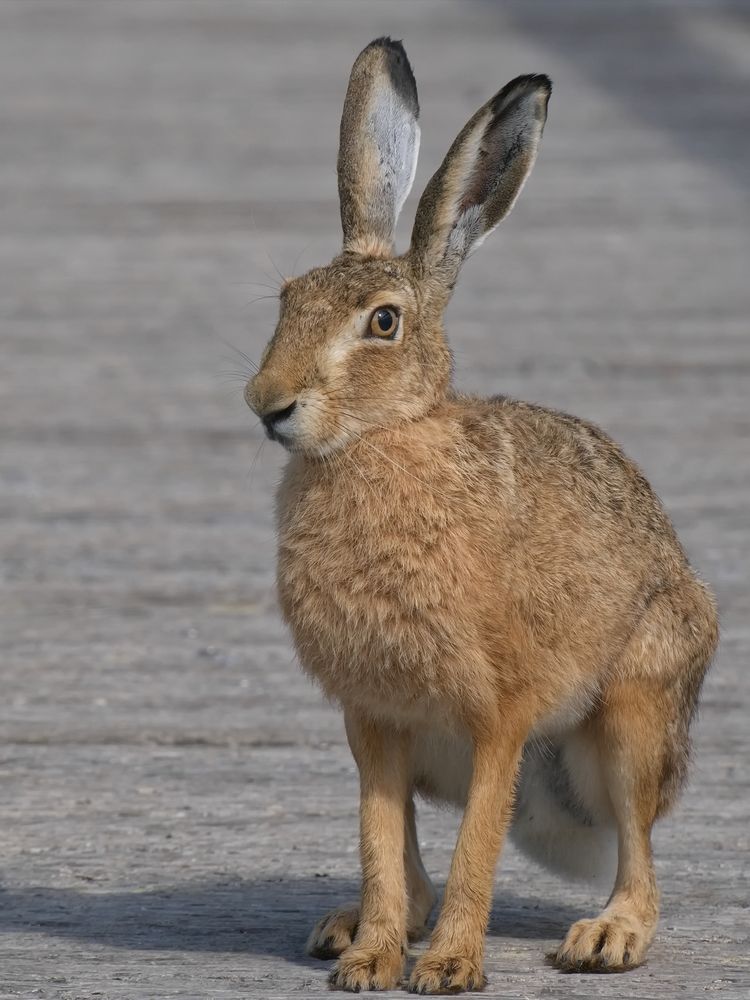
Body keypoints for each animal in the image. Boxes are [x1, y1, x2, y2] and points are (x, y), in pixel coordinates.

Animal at [244, 37, 719, 994]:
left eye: (383, 323)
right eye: (288, 300)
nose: (268, 402)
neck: (384, 436)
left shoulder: (500, 713)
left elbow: (476, 850)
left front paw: (449, 968)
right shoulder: (372, 717)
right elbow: (380, 843)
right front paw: (373, 962)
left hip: (635, 713)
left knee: (638, 850)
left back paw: (605, 937)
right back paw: (348, 930)